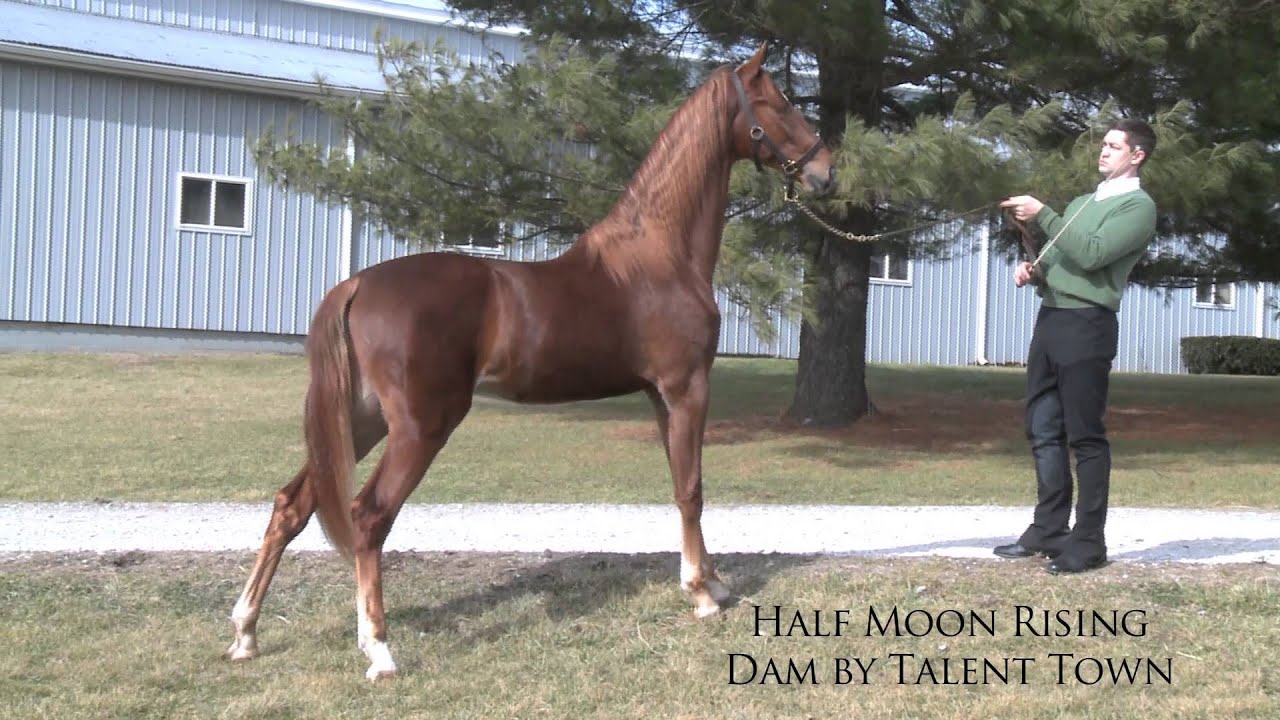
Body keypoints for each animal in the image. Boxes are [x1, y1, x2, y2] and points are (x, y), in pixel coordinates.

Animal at [225, 42, 835, 681]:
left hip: (361, 418)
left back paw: (246, 631)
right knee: (368, 516)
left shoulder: (660, 395)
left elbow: (680, 482)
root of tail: (359, 284)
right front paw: (701, 595)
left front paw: (711, 582)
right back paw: (379, 649)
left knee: (292, 505)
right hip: (420, 426)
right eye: (779, 103)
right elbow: (691, 487)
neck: (658, 255)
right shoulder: (686, 386)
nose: (826, 171)